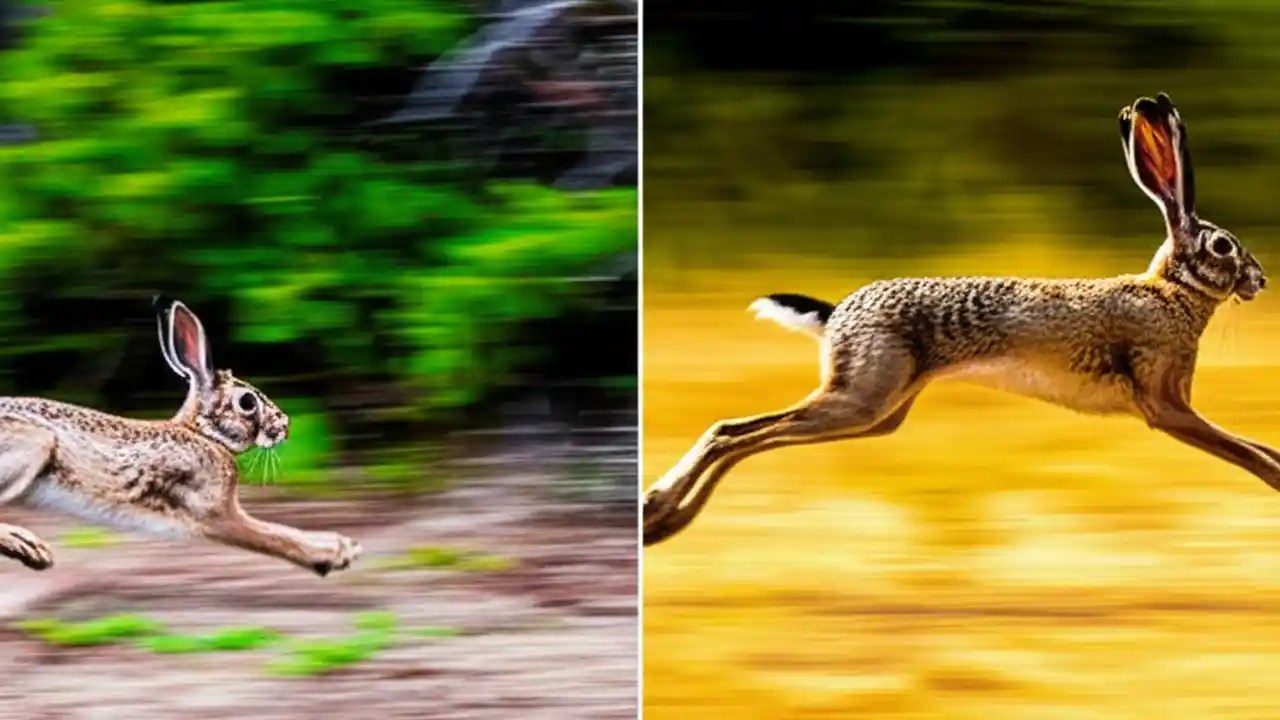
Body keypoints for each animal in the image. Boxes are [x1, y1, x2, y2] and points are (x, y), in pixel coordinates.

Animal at [0, 296, 362, 576]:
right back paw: (29, 547)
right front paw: (336, 553)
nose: (284, 425)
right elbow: (272, 534)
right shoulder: (213, 513)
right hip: (34, 446)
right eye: (247, 402)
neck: (203, 434)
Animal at [643, 92, 1271, 546]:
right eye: (1222, 246)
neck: (1171, 292)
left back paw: (664, 521)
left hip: (879, 412)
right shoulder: (1166, 407)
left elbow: (1251, 446)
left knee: (749, 436)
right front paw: (1277, 482)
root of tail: (838, 313)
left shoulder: (1171, 405)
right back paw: (658, 513)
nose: (1260, 280)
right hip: (861, 396)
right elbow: (1246, 450)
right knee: (732, 432)